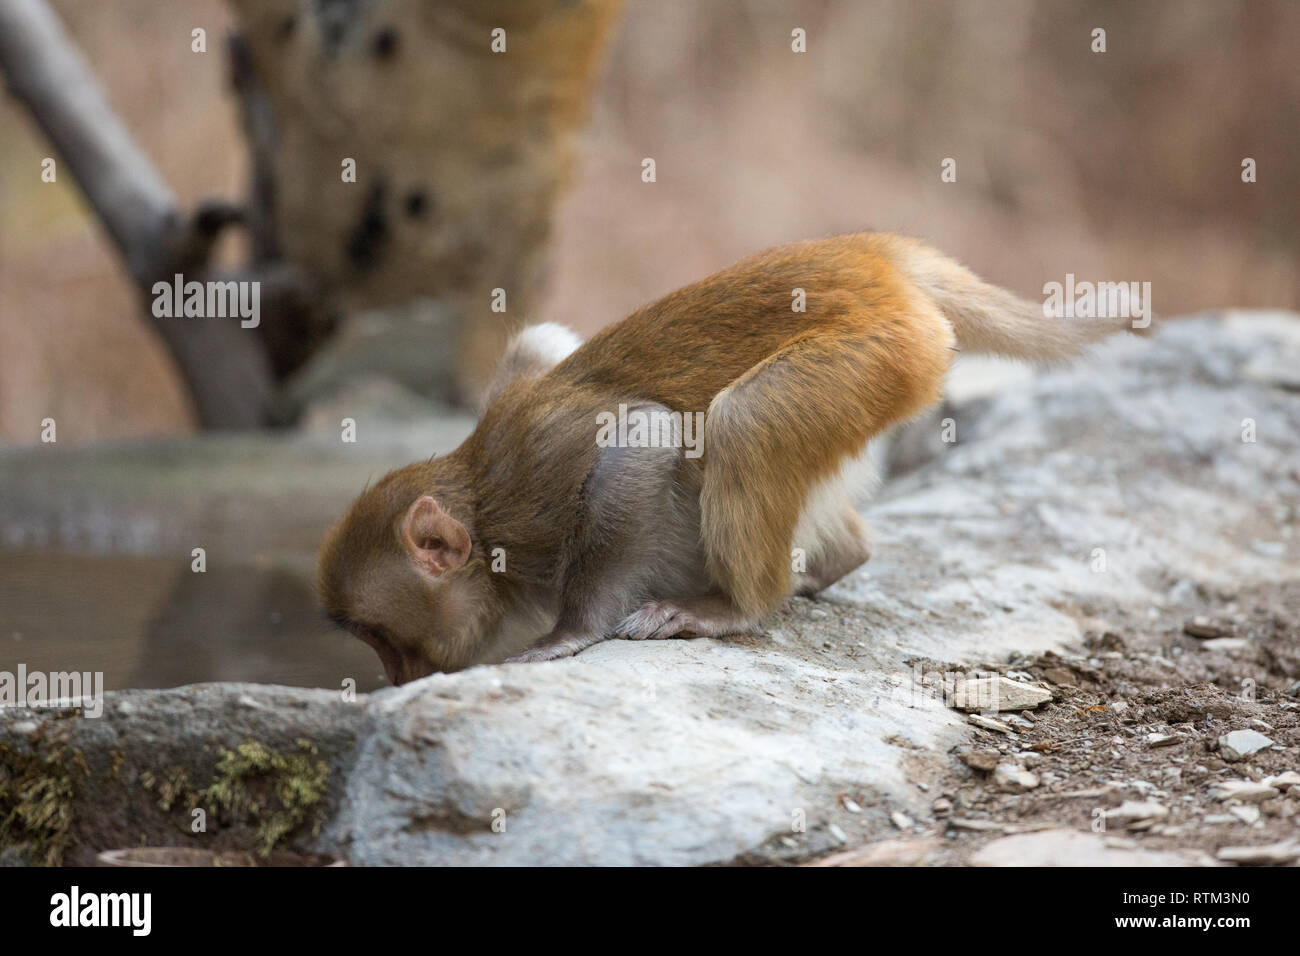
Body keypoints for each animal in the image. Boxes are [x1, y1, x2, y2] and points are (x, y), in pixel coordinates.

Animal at [318, 232, 1142, 684]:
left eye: (382, 637)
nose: (395, 678)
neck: (483, 518)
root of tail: (873, 254)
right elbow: (545, 338)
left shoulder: (532, 495)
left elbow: (643, 440)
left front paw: (567, 633)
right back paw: (834, 558)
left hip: (884, 352)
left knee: (742, 420)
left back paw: (736, 607)